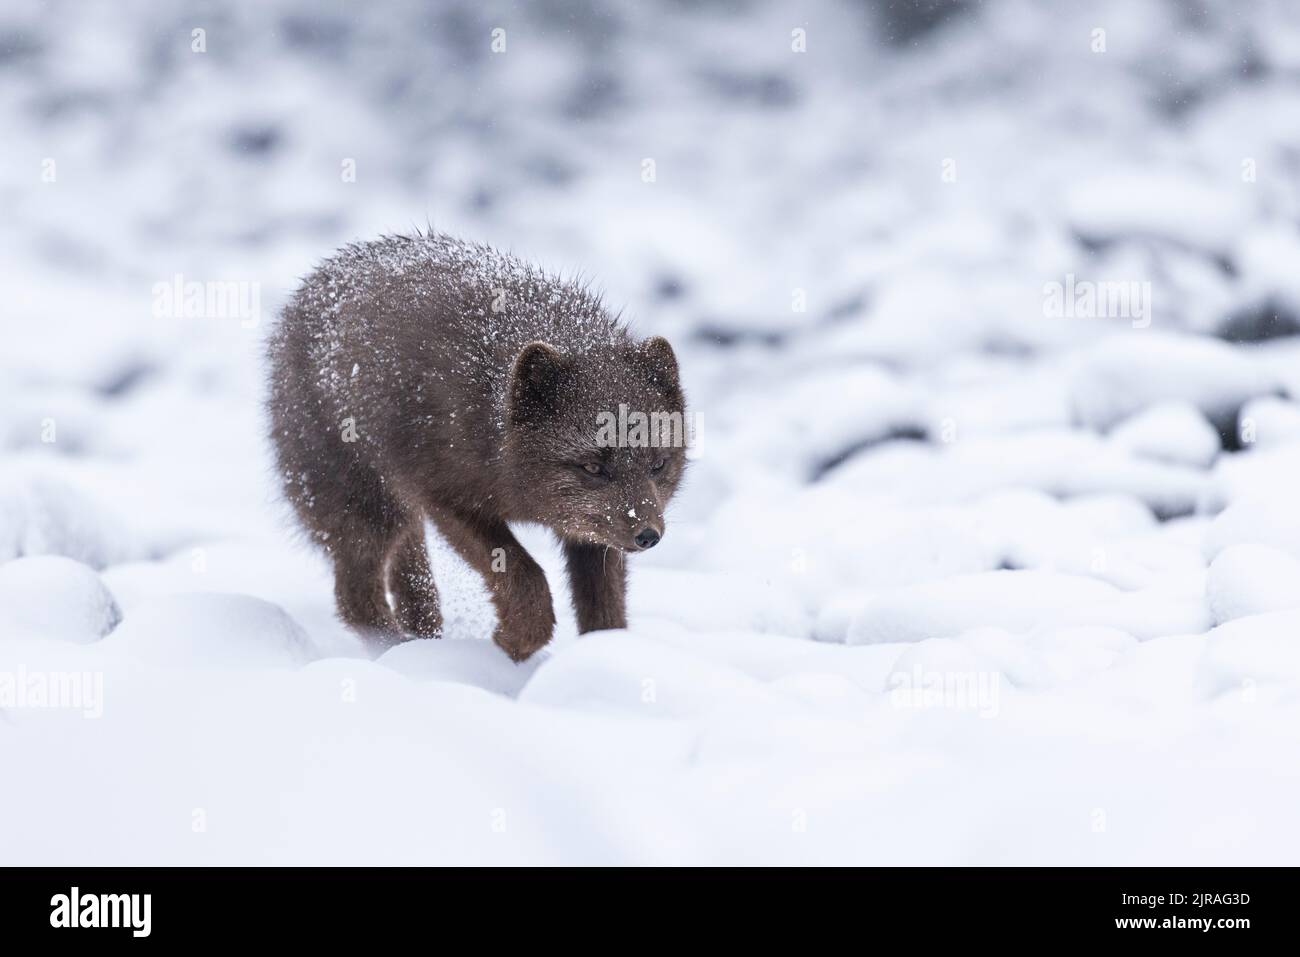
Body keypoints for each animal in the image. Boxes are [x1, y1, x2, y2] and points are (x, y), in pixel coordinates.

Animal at [266, 232, 687, 661]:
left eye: (657, 465)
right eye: (592, 467)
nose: (648, 535)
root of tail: (309, 286)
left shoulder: (588, 532)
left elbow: (605, 608)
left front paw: (603, 655)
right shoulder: (446, 496)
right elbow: (523, 573)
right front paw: (516, 642)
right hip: (366, 503)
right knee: (353, 597)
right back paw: (399, 653)